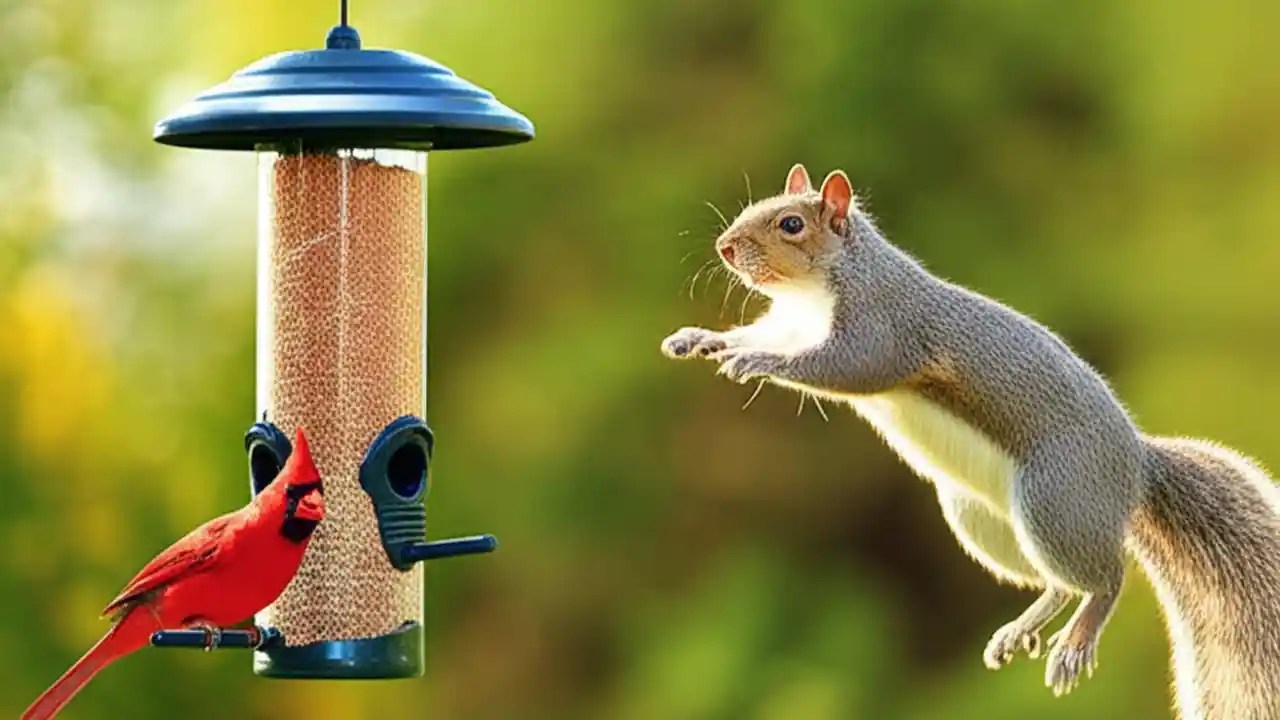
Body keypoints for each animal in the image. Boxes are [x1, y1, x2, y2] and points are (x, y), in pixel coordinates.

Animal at [661, 164, 1280, 720]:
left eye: (791, 224)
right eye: (752, 207)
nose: (724, 248)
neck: (815, 292)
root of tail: (1135, 466)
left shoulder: (882, 329)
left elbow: (846, 367)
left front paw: (758, 362)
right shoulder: (789, 324)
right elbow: (754, 332)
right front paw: (701, 338)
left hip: (1055, 500)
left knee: (1105, 579)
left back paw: (1077, 642)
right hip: (978, 516)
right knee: (1056, 583)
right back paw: (1021, 627)